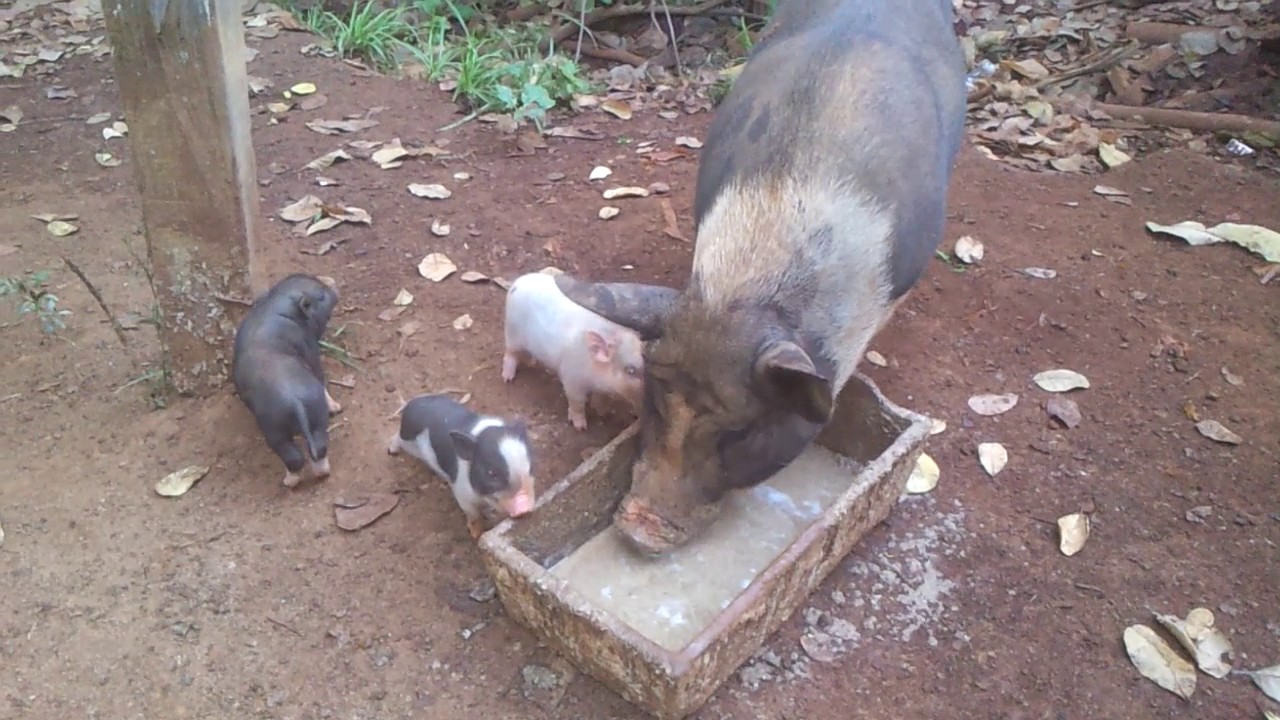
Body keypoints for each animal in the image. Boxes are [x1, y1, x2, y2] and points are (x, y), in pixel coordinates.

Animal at [232, 273, 343, 488]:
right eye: (322, 295)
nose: (330, 279)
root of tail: (295, 401)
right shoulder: (310, 349)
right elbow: (320, 375)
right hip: (313, 414)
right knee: (316, 447)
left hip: (273, 427)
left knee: (296, 456)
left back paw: (288, 482)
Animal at [387, 393, 536, 539]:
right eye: (491, 473)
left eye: (530, 467)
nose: (524, 508)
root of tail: (411, 403)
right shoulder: (461, 491)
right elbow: (473, 514)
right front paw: (476, 535)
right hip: (407, 436)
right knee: (395, 437)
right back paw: (391, 451)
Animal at [501, 271, 645, 431]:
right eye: (630, 370)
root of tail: (518, 282)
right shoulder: (572, 378)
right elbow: (577, 402)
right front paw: (580, 426)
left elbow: (602, 399)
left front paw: (603, 412)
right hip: (512, 334)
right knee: (510, 355)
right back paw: (508, 378)